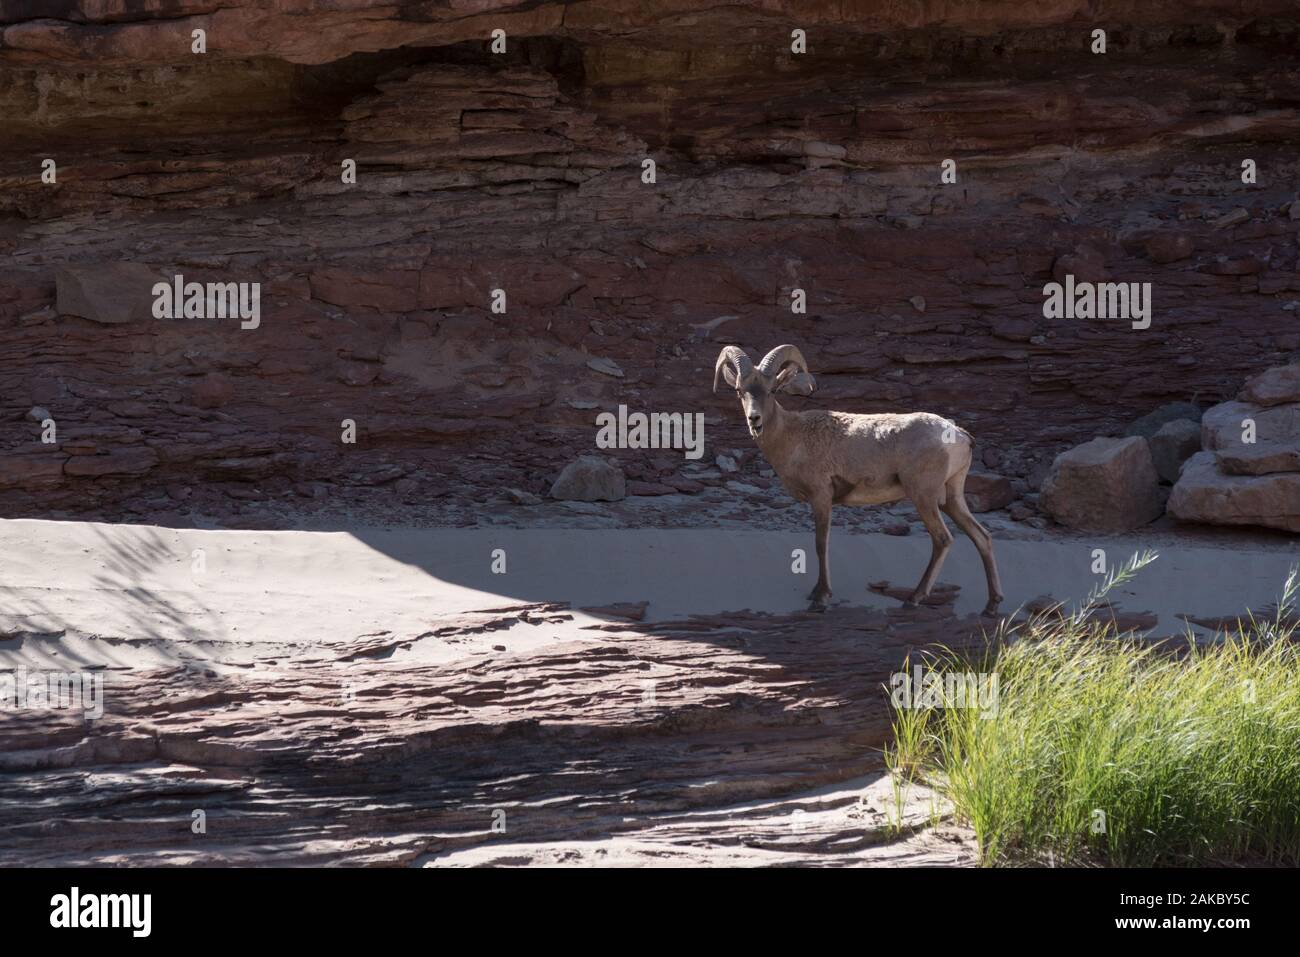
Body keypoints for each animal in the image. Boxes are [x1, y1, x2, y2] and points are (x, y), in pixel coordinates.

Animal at [714, 344, 1003, 615]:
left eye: (772, 390)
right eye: (740, 391)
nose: (754, 419)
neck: (792, 437)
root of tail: (959, 435)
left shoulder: (821, 497)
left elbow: (821, 544)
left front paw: (821, 599)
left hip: (924, 496)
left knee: (943, 539)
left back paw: (914, 599)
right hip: (951, 498)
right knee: (982, 537)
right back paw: (991, 606)